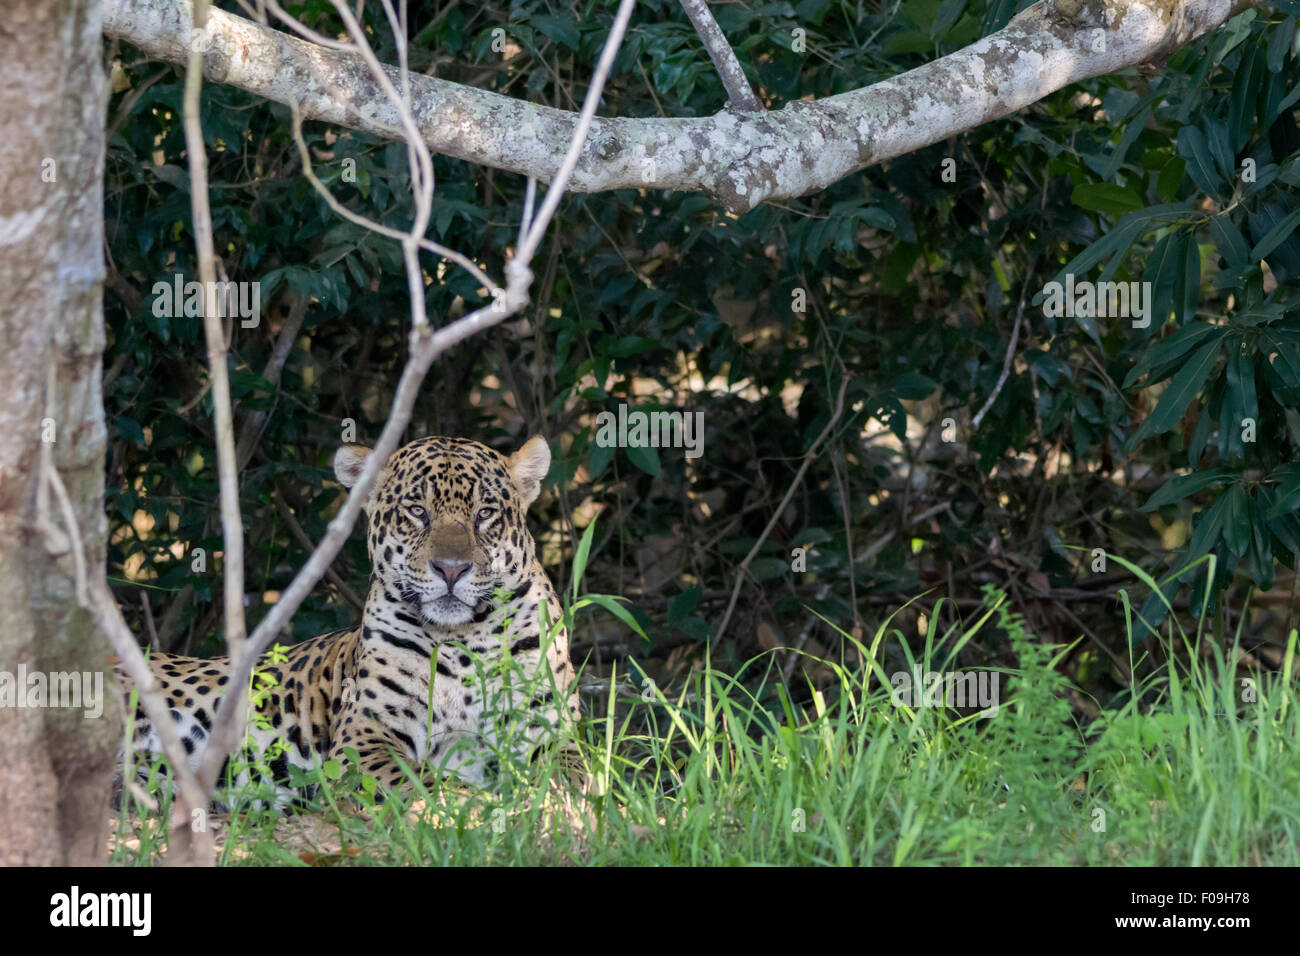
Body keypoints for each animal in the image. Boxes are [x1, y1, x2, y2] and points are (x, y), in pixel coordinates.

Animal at [115, 434, 579, 804]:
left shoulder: (557, 731)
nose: (451, 570)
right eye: (417, 511)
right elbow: (426, 781)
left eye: (484, 513)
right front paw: (477, 801)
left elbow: (570, 774)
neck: (462, 638)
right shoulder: (366, 737)